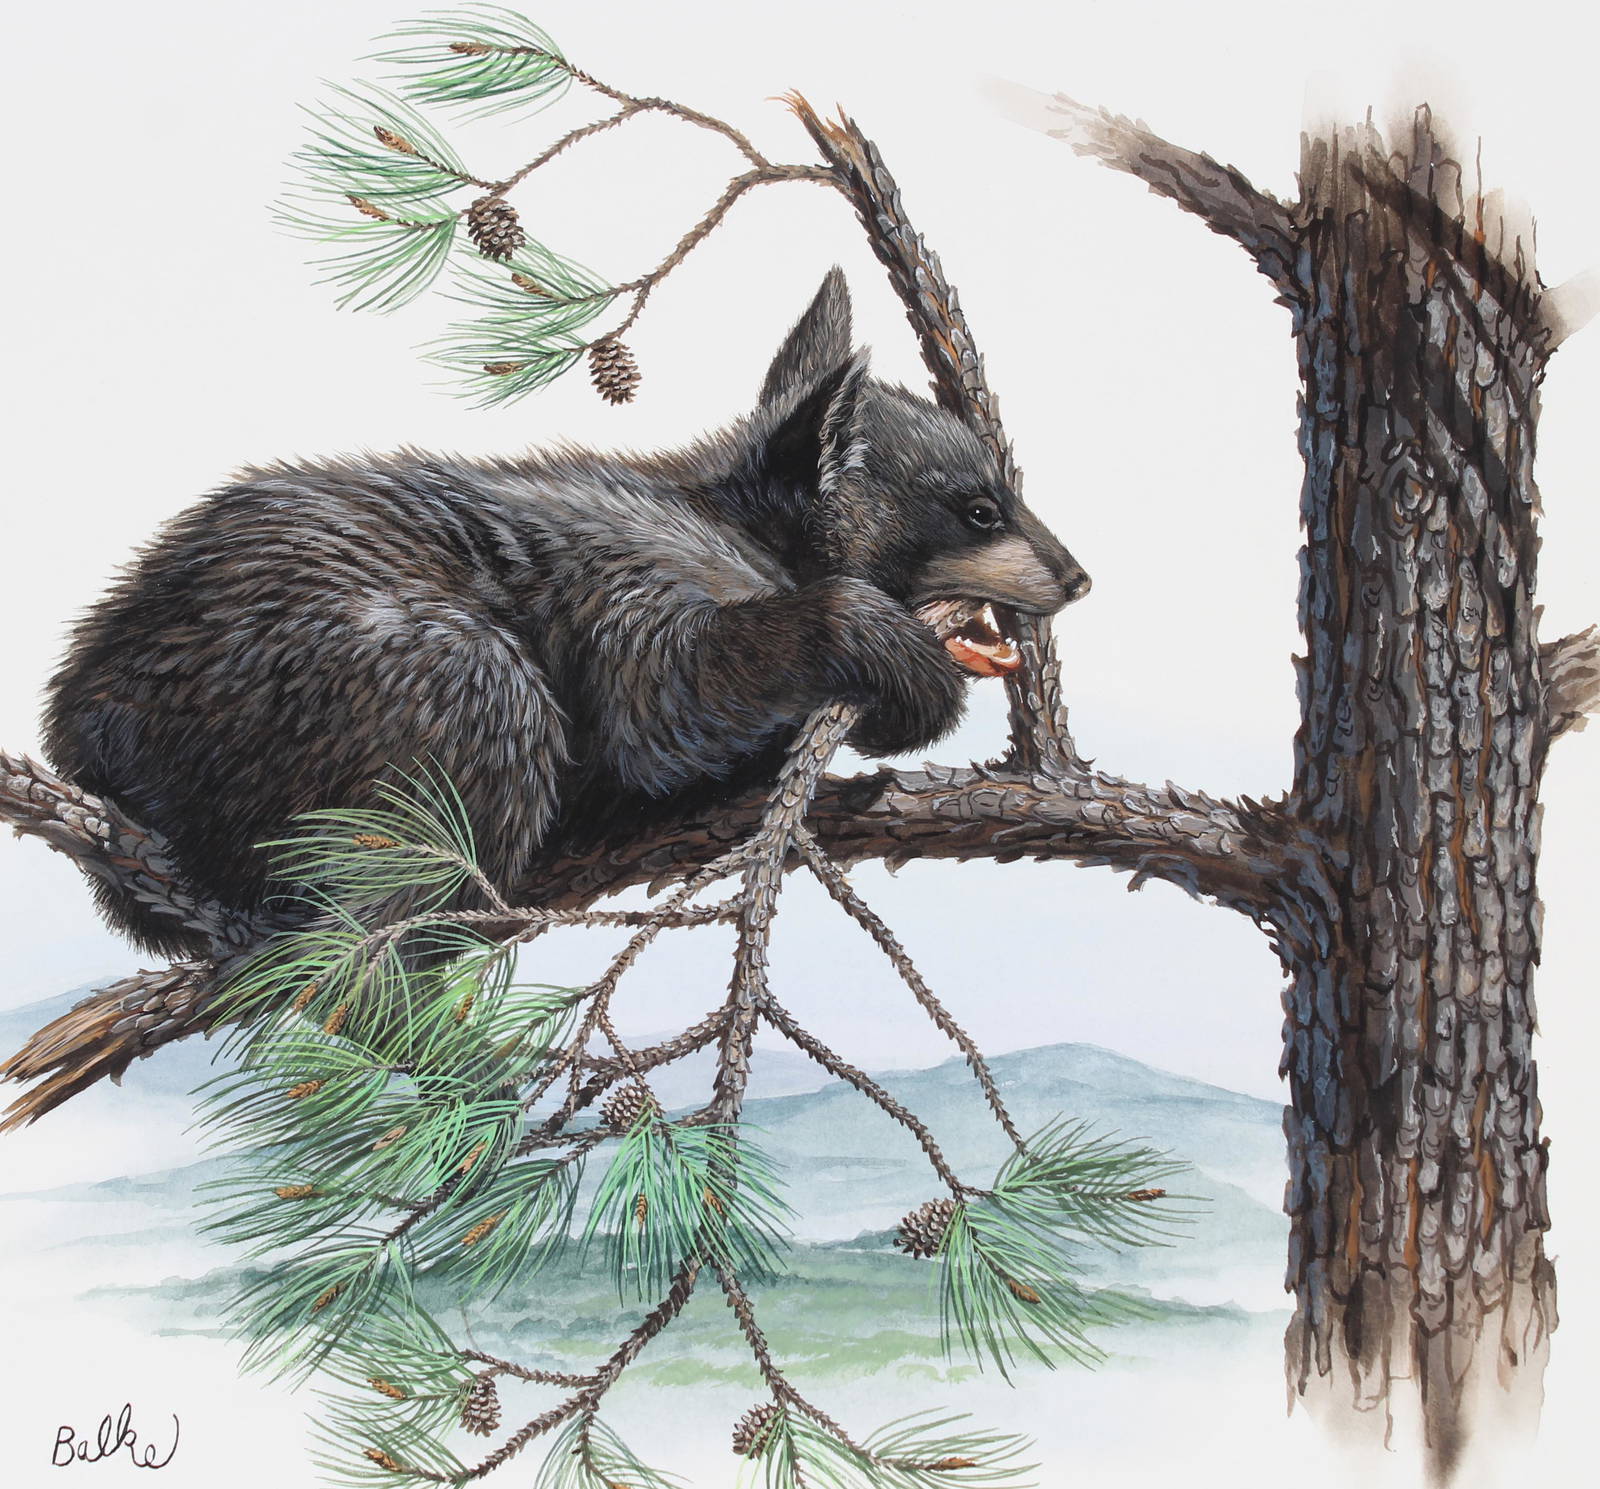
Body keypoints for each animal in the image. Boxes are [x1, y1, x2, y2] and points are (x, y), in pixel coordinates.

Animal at [43, 269, 1088, 959]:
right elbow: (665, 698)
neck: (749, 526)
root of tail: (87, 729)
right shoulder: (631, 580)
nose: (1080, 577)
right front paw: (894, 662)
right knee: (474, 732)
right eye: (981, 508)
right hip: (340, 677)